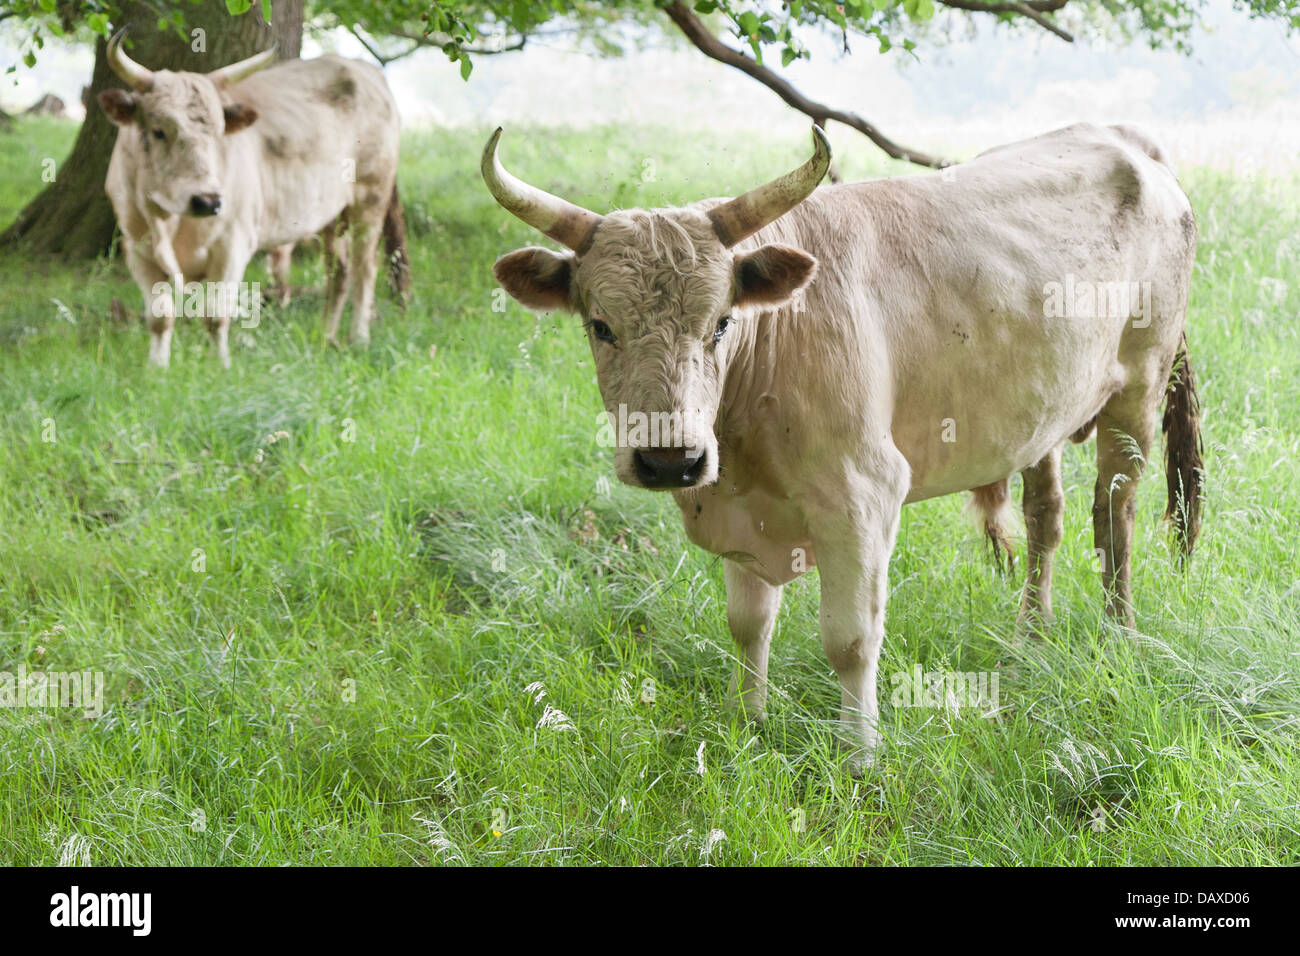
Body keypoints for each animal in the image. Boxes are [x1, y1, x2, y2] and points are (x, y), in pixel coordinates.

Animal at [97, 29, 405, 367]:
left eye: (219, 133)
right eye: (158, 130)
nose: (207, 201)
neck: (169, 220)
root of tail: (365, 71)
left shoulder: (232, 245)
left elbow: (215, 315)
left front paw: (220, 366)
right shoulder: (138, 250)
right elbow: (160, 317)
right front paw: (157, 369)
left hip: (371, 199)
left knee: (365, 270)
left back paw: (358, 339)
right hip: (331, 216)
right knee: (339, 273)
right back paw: (325, 337)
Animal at [481, 122, 1204, 771]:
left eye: (722, 323)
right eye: (601, 326)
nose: (669, 460)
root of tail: (1129, 141)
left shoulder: (862, 497)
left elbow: (850, 640)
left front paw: (861, 758)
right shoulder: (739, 505)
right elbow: (748, 623)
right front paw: (748, 722)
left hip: (1136, 396)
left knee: (1115, 516)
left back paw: (1117, 634)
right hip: (1042, 417)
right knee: (1044, 518)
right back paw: (1030, 638)